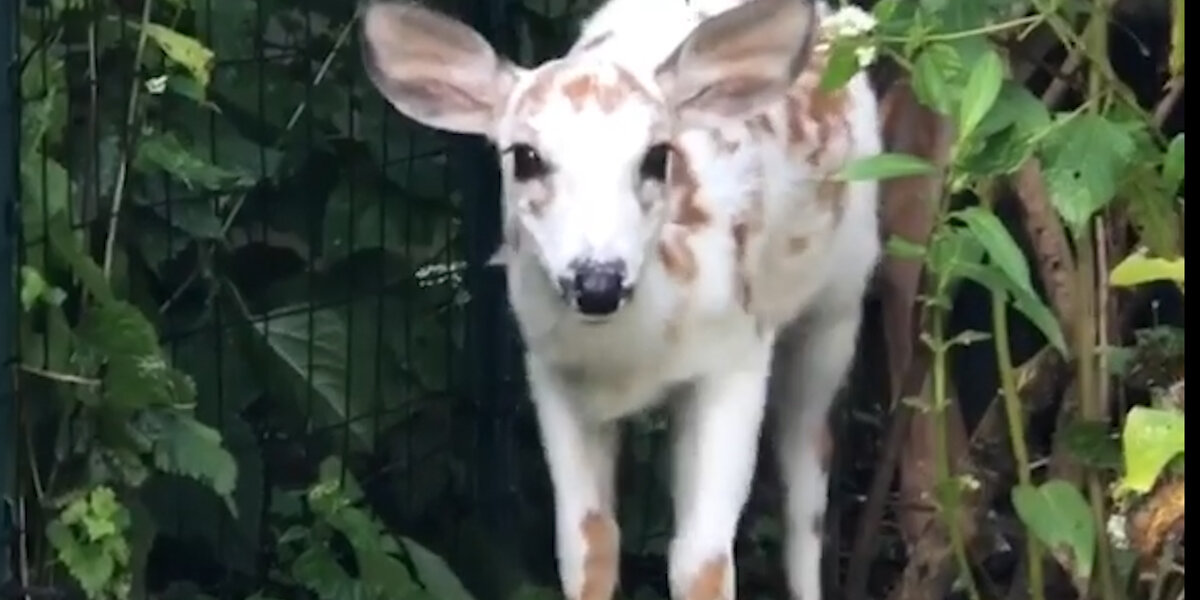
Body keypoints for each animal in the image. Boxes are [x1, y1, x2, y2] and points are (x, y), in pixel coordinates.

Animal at [359, 0, 890, 598]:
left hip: (838, 303)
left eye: (657, 157)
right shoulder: (552, 374)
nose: (598, 281)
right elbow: (589, 544)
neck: (632, 354)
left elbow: (702, 561)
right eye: (525, 157)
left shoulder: (736, 354)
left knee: (808, 480)